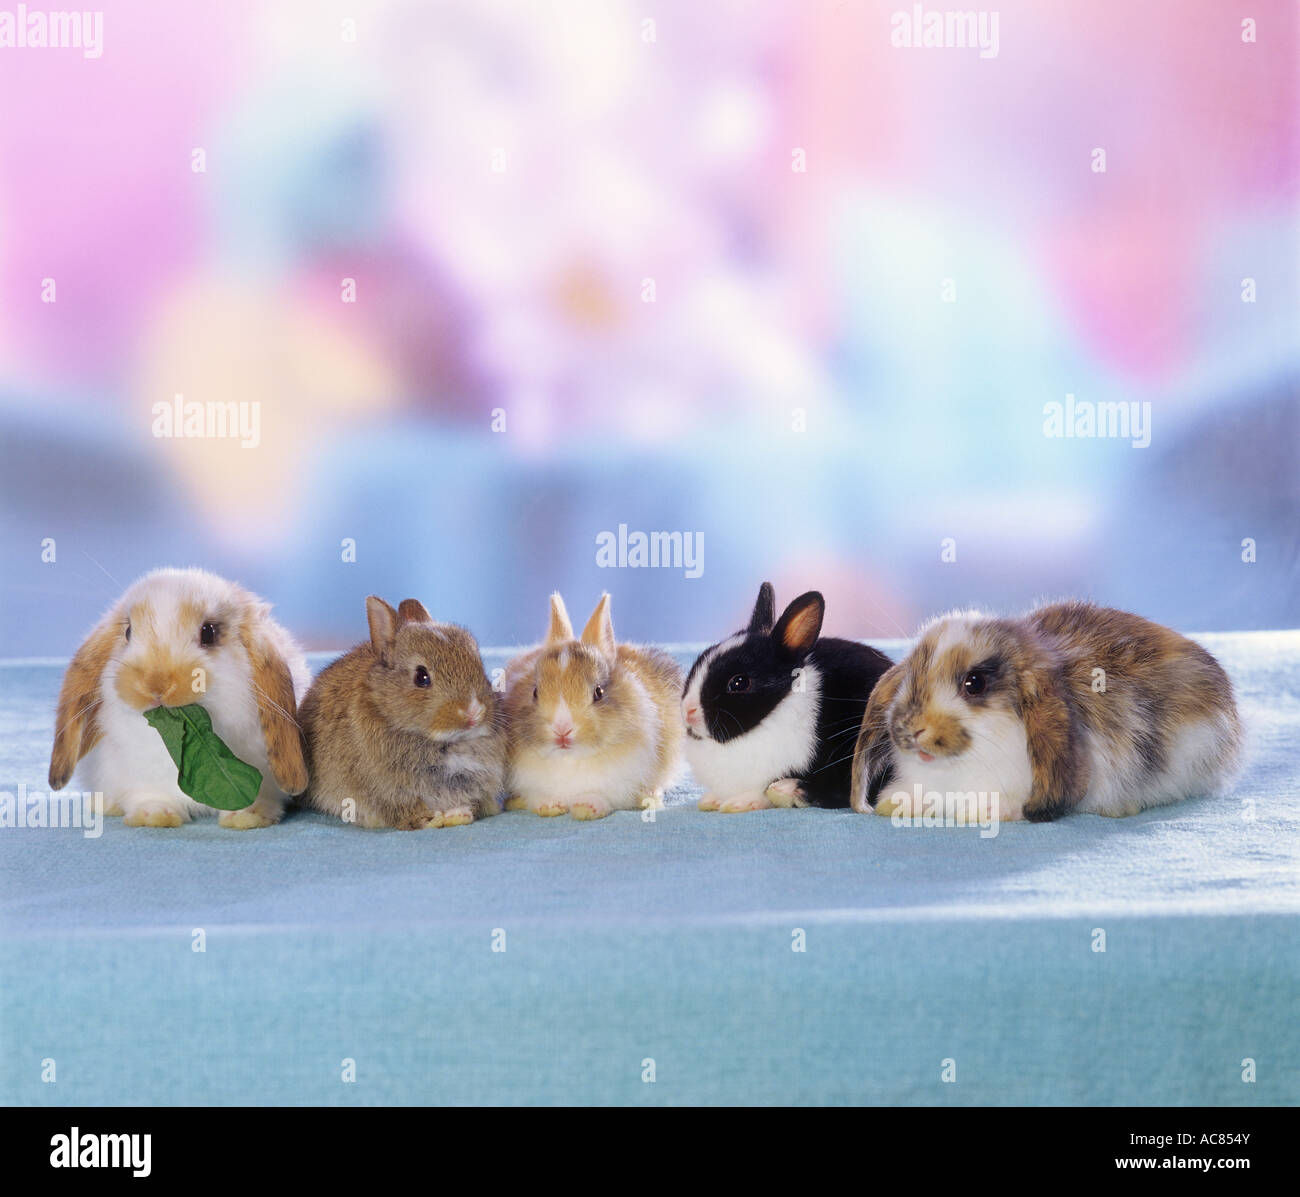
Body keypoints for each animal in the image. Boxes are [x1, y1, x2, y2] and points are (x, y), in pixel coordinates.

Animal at [47, 567, 310, 828]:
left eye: (209, 632)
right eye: (128, 631)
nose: (155, 684)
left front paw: (247, 817)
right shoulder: (140, 773)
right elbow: (150, 794)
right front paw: (154, 816)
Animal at [502, 592, 683, 820]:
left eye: (599, 692)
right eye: (535, 692)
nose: (562, 729)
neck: (570, 760)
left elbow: (603, 796)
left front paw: (586, 807)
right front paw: (550, 805)